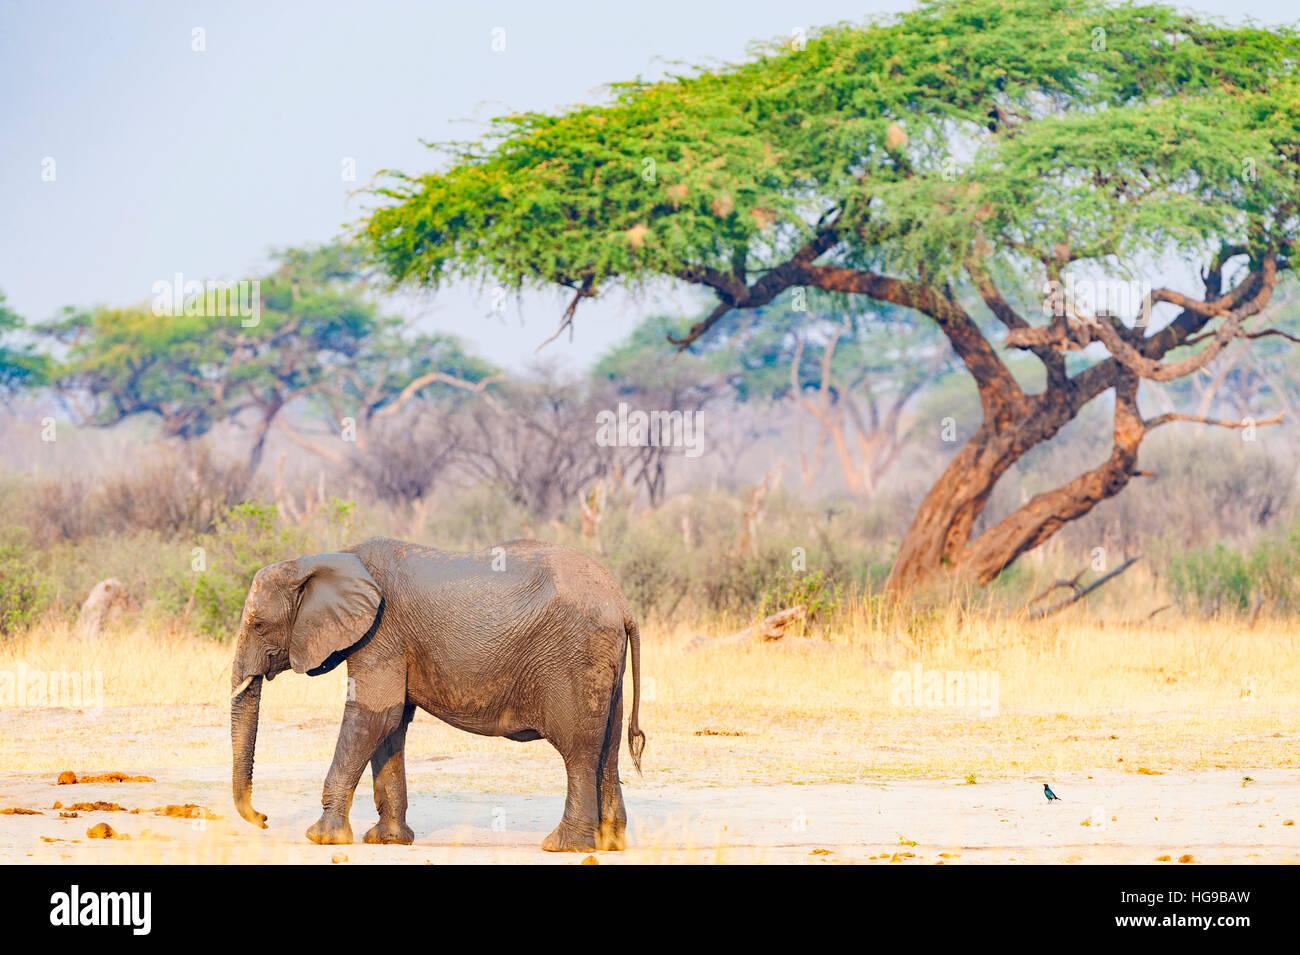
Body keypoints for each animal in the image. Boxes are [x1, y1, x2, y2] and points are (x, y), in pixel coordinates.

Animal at [229, 536, 646, 852]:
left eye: (259, 625)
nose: (264, 819)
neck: (323, 559)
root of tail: (622, 604)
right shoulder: (391, 642)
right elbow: (390, 726)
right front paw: (387, 841)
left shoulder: (381, 634)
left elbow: (373, 717)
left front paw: (321, 838)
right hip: (606, 664)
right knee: (607, 749)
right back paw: (610, 845)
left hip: (576, 658)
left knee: (578, 751)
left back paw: (562, 846)